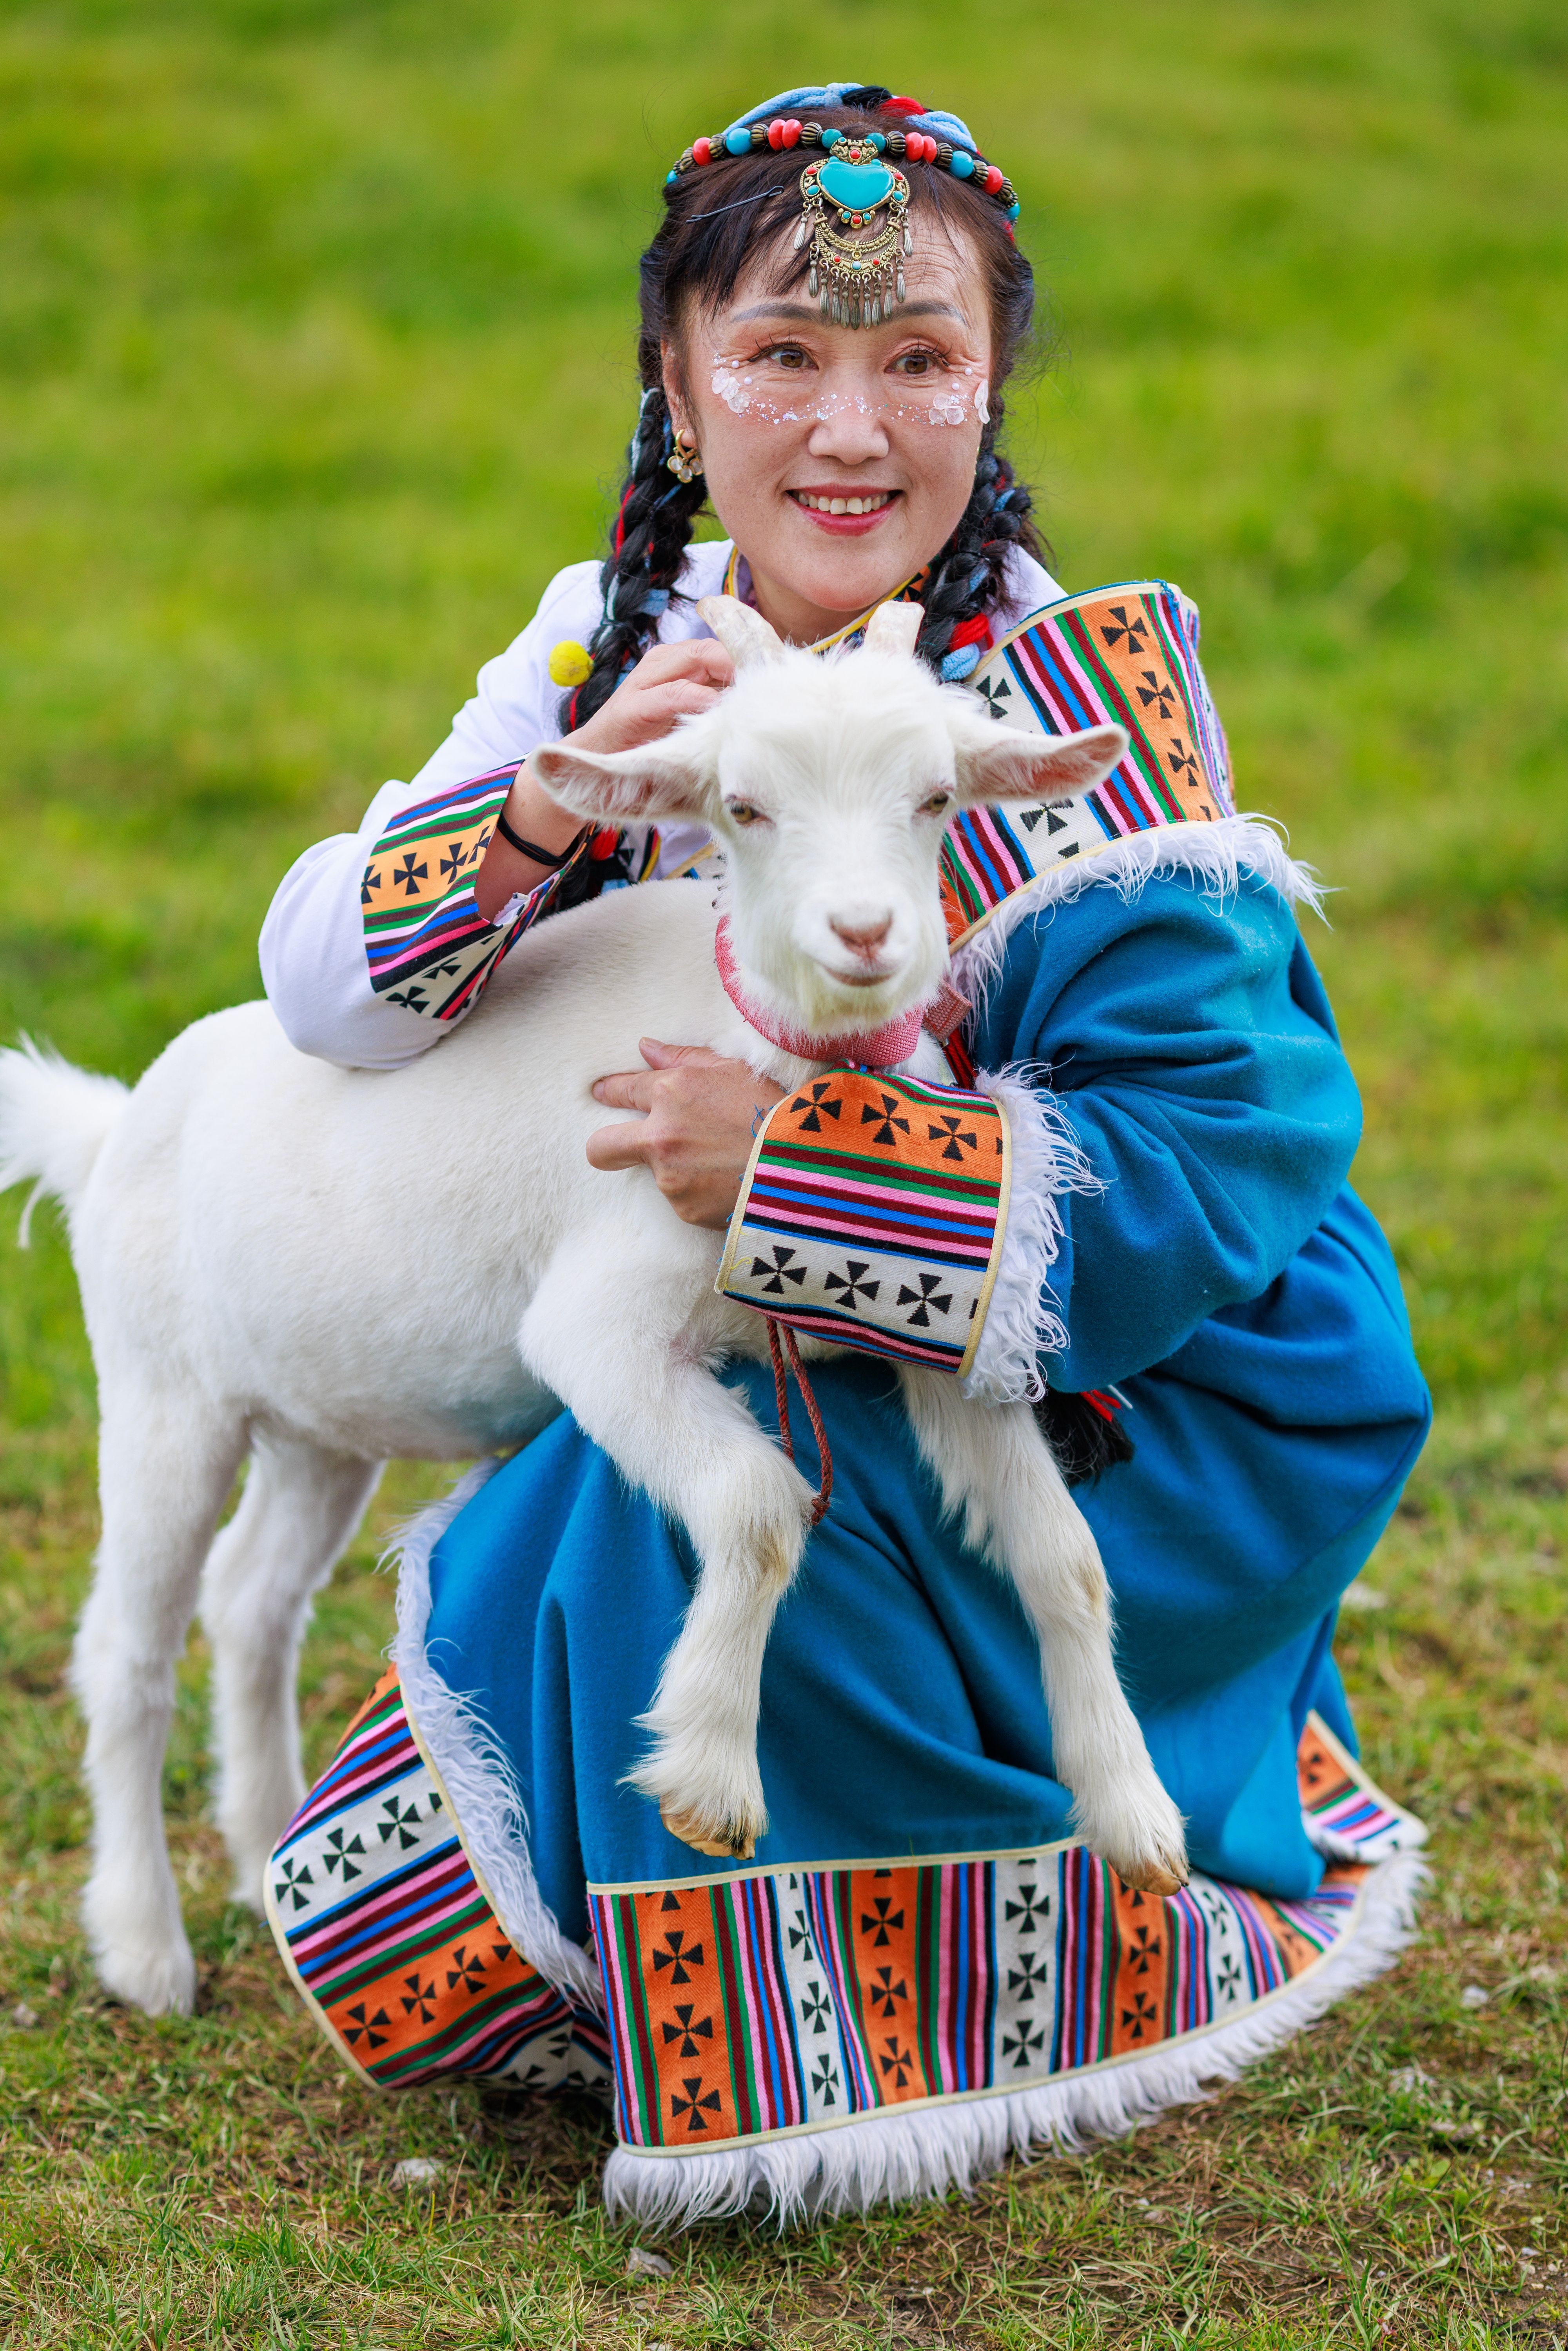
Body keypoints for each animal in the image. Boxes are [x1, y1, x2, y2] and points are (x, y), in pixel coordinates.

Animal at [0, 596, 1188, 2019]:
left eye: (937, 796)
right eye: (744, 805)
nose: (862, 935)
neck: (769, 1067)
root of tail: (118, 1124)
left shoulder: (934, 1332)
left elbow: (1065, 1555)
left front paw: (1135, 1814)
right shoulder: (599, 1327)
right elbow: (760, 1505)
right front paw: (708, 1775)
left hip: (320, 1418)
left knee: (252, 1599)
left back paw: (260, 1846)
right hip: (158, 1389)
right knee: (127, 1642)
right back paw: (144, 1941)